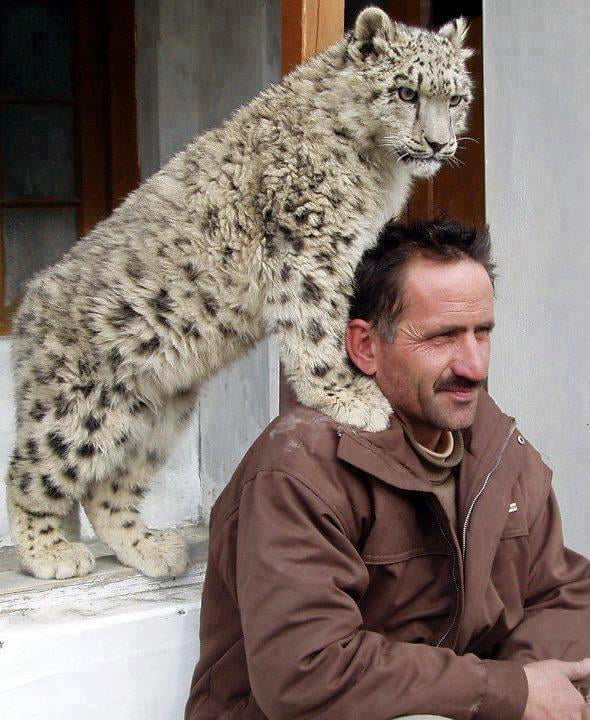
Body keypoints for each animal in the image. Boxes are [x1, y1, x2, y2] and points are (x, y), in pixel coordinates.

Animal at [5, 7, 473, 579]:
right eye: (406, 92)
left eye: (456, 98)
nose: (438, 144)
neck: (377, 174)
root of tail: (27, 312)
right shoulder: (307, 247)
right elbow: (316, 325)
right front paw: (345, 395)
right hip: (78, 407)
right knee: (32, 471)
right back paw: (50, 552)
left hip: (156, 415)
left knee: (108, 486)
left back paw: (151, 549)